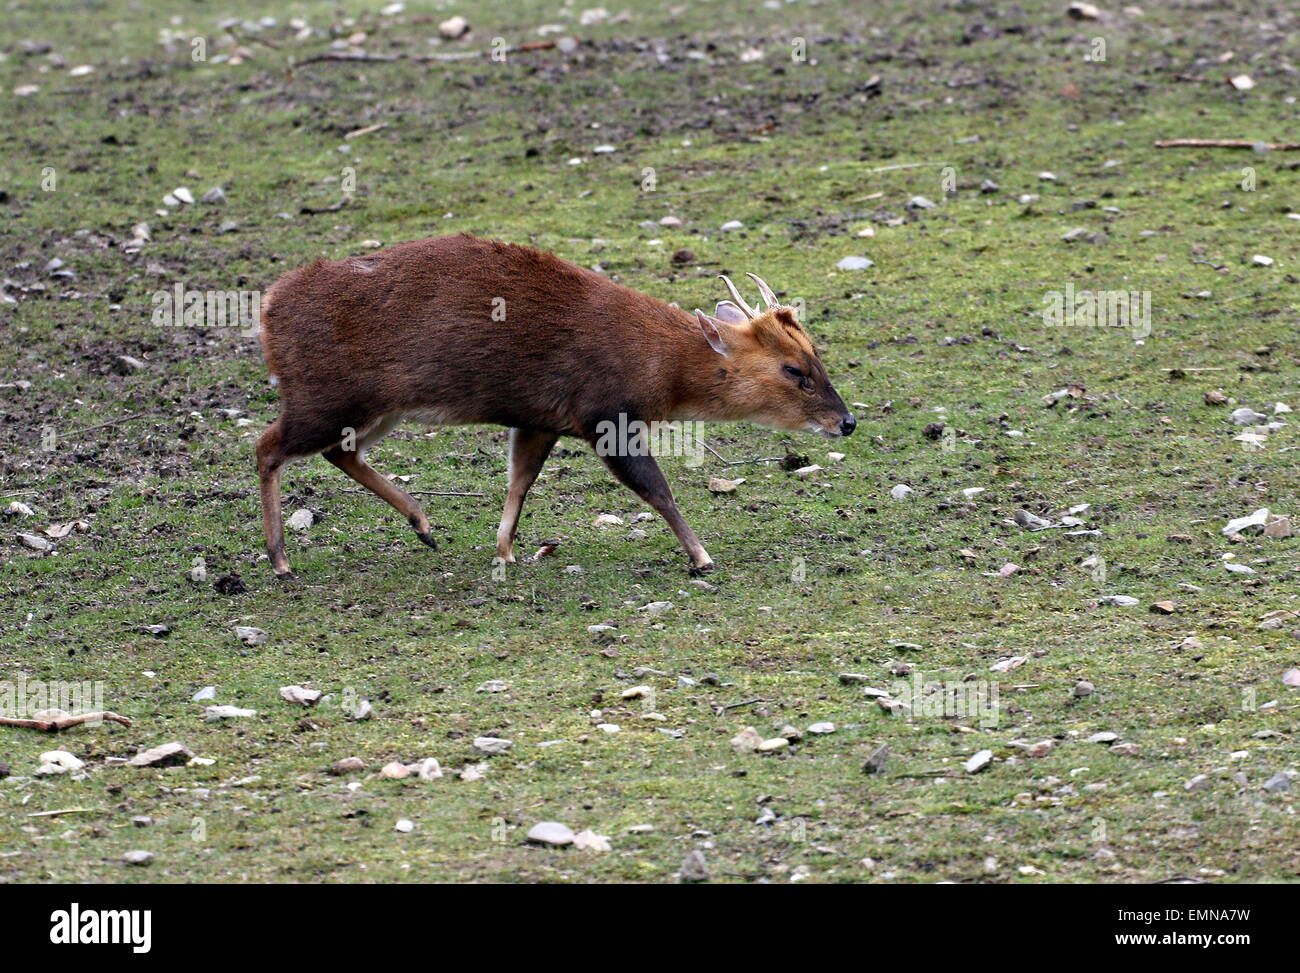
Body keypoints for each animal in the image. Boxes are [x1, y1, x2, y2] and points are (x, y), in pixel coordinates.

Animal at [255, 234, 854, 577]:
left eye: (815, 355)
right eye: (794, 370)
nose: (846, 421)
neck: (658, 365)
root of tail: (268, 309)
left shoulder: (540, 420)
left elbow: (519, 483)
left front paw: (504, 552)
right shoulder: (604, 414)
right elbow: (655, 488)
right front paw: (702, 558)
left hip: (374, 409)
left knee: (336, 453)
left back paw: (424, 525)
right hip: (329, 397)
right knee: (267, 446)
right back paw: (281, 560)